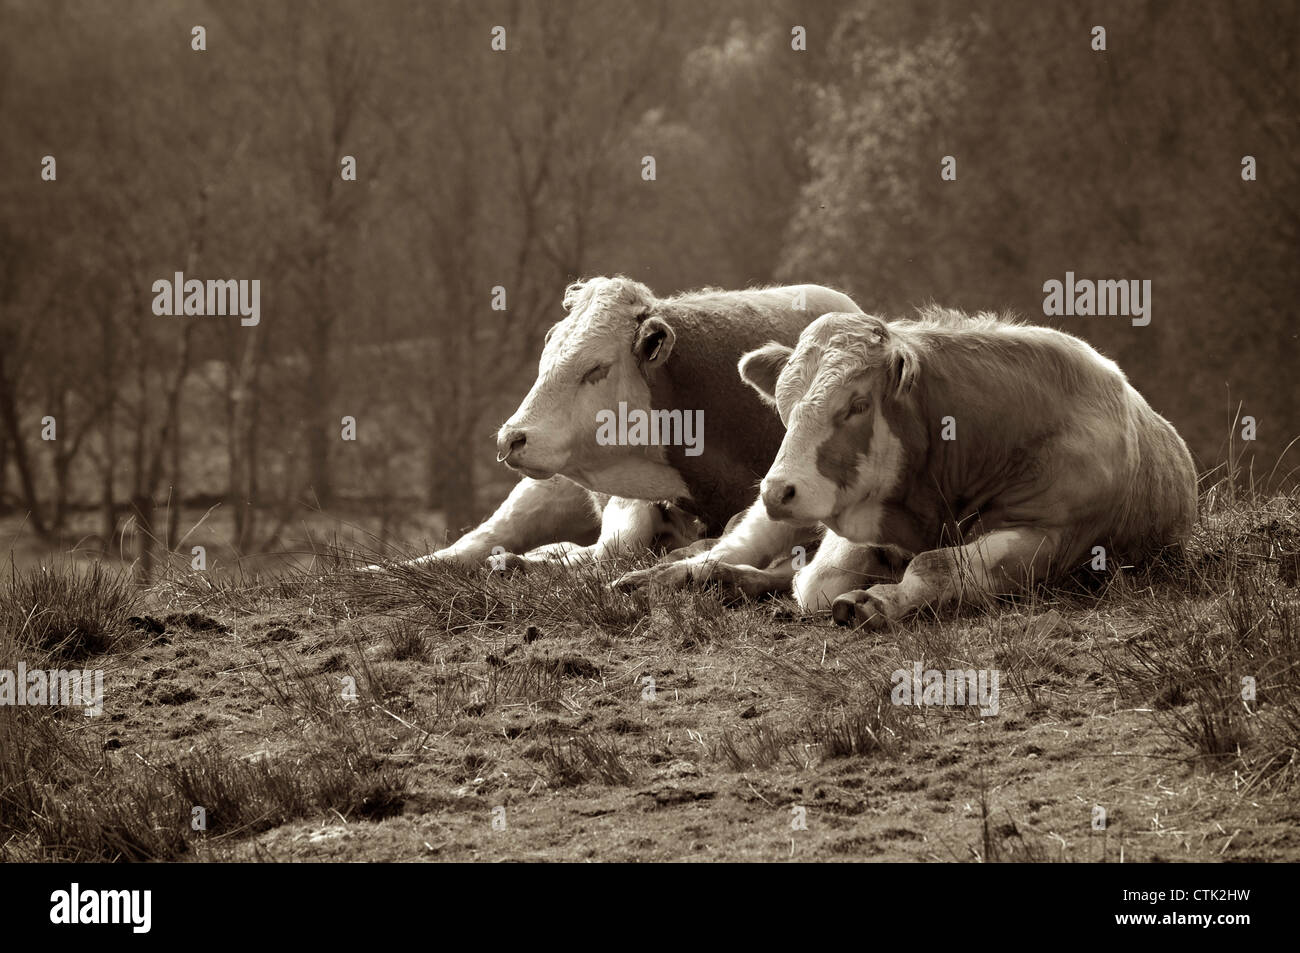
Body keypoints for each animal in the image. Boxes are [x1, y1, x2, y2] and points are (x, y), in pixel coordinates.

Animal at [380, 277, 864, 573]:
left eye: (596, 367)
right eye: (546, 357)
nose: (511, 437)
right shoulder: (628, 497)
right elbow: (614, 549)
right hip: (543, 492)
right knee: (474, 545)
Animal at [617, 307, 1198, 628]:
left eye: (855, 404)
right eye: (783, 405)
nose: (779, 490)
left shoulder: (1050, 535)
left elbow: (932, 565)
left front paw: (877, 600)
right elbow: (816, 581)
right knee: (731, 550)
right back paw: (669, 577)